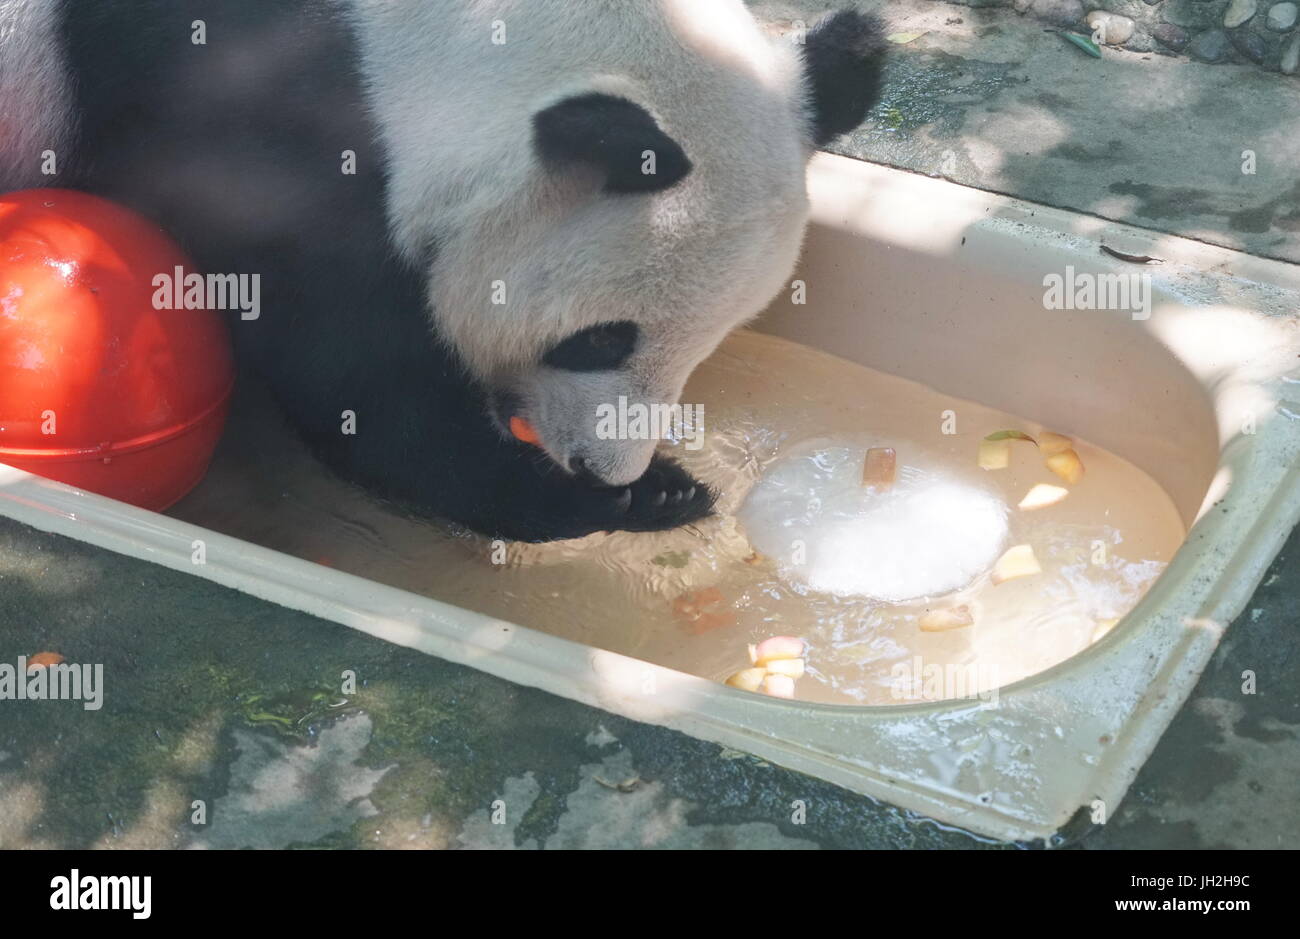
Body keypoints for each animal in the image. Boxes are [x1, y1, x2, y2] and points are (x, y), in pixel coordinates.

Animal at [0, 0, 886, 542]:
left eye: (715, 341)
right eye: (601, 339)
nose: (601, 463)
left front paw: (656, 486)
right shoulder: (242, 108)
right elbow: (356, 380)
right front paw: (613, 496)